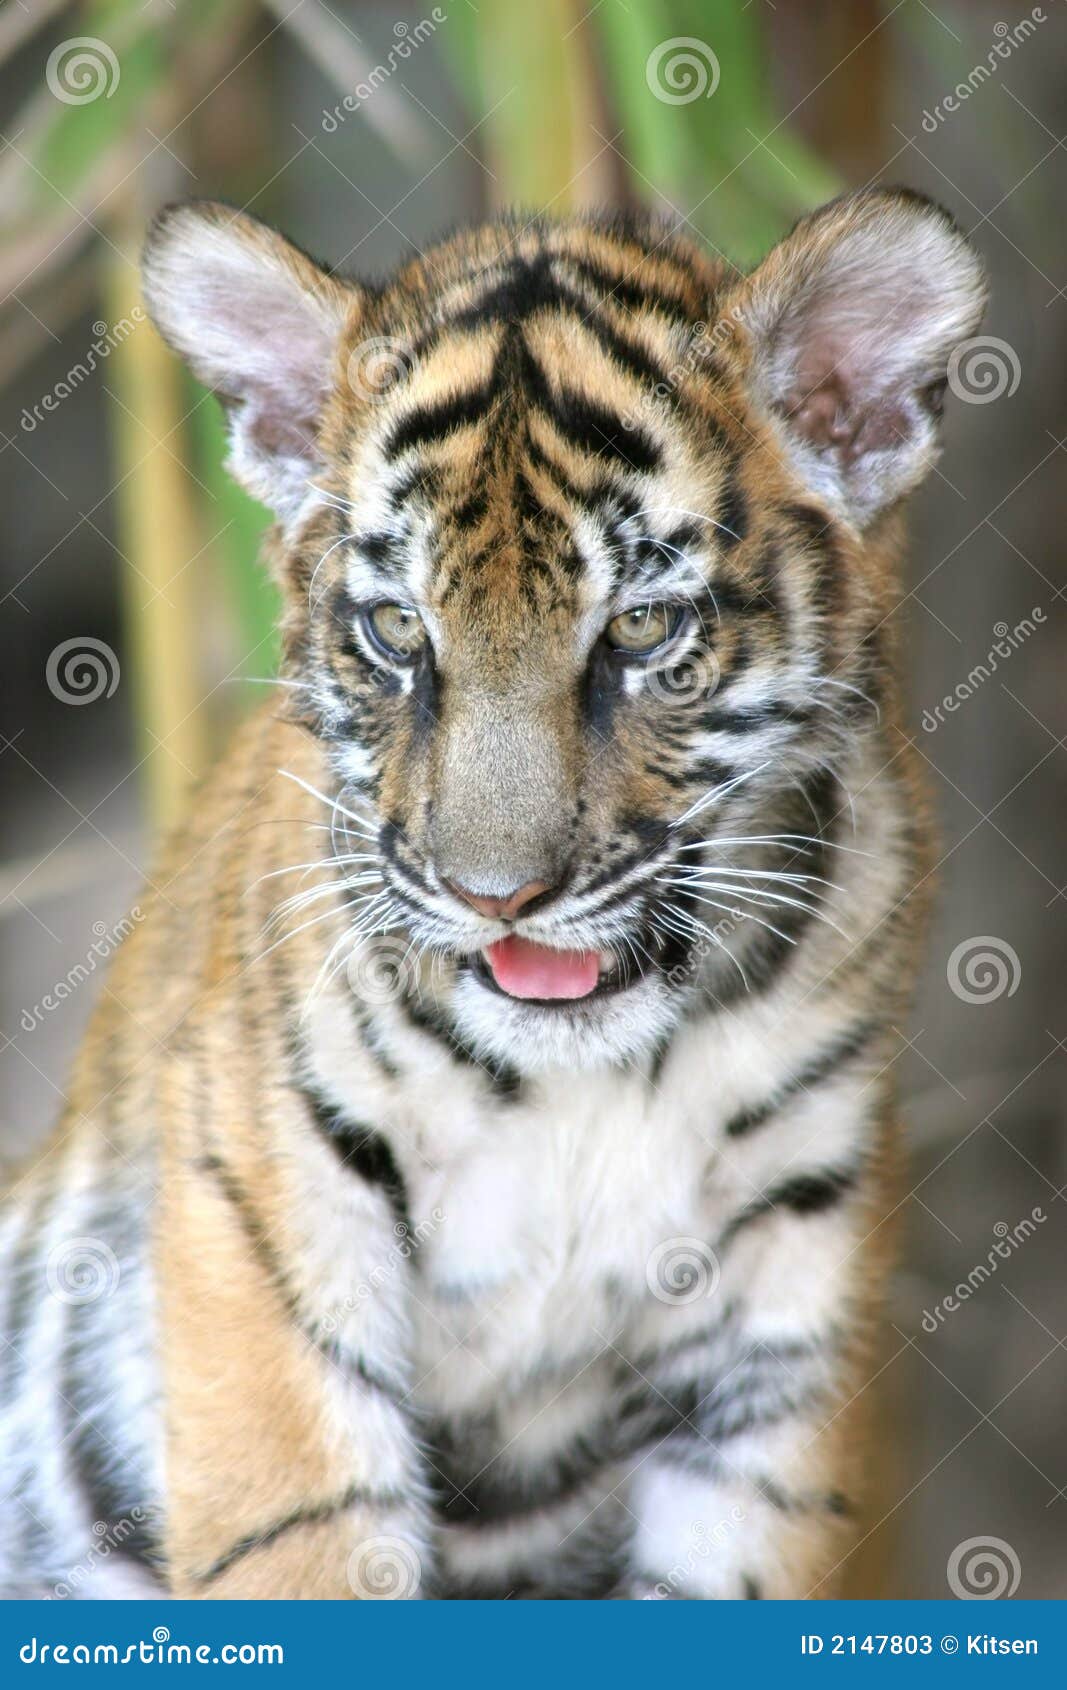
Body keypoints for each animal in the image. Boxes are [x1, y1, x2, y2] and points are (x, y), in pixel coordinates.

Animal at [0, 187, 985, 1600]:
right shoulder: (269, 1194)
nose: (497, 897)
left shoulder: (785, 1281)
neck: (584, 1089)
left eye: (640, 630)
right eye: (398, 633)